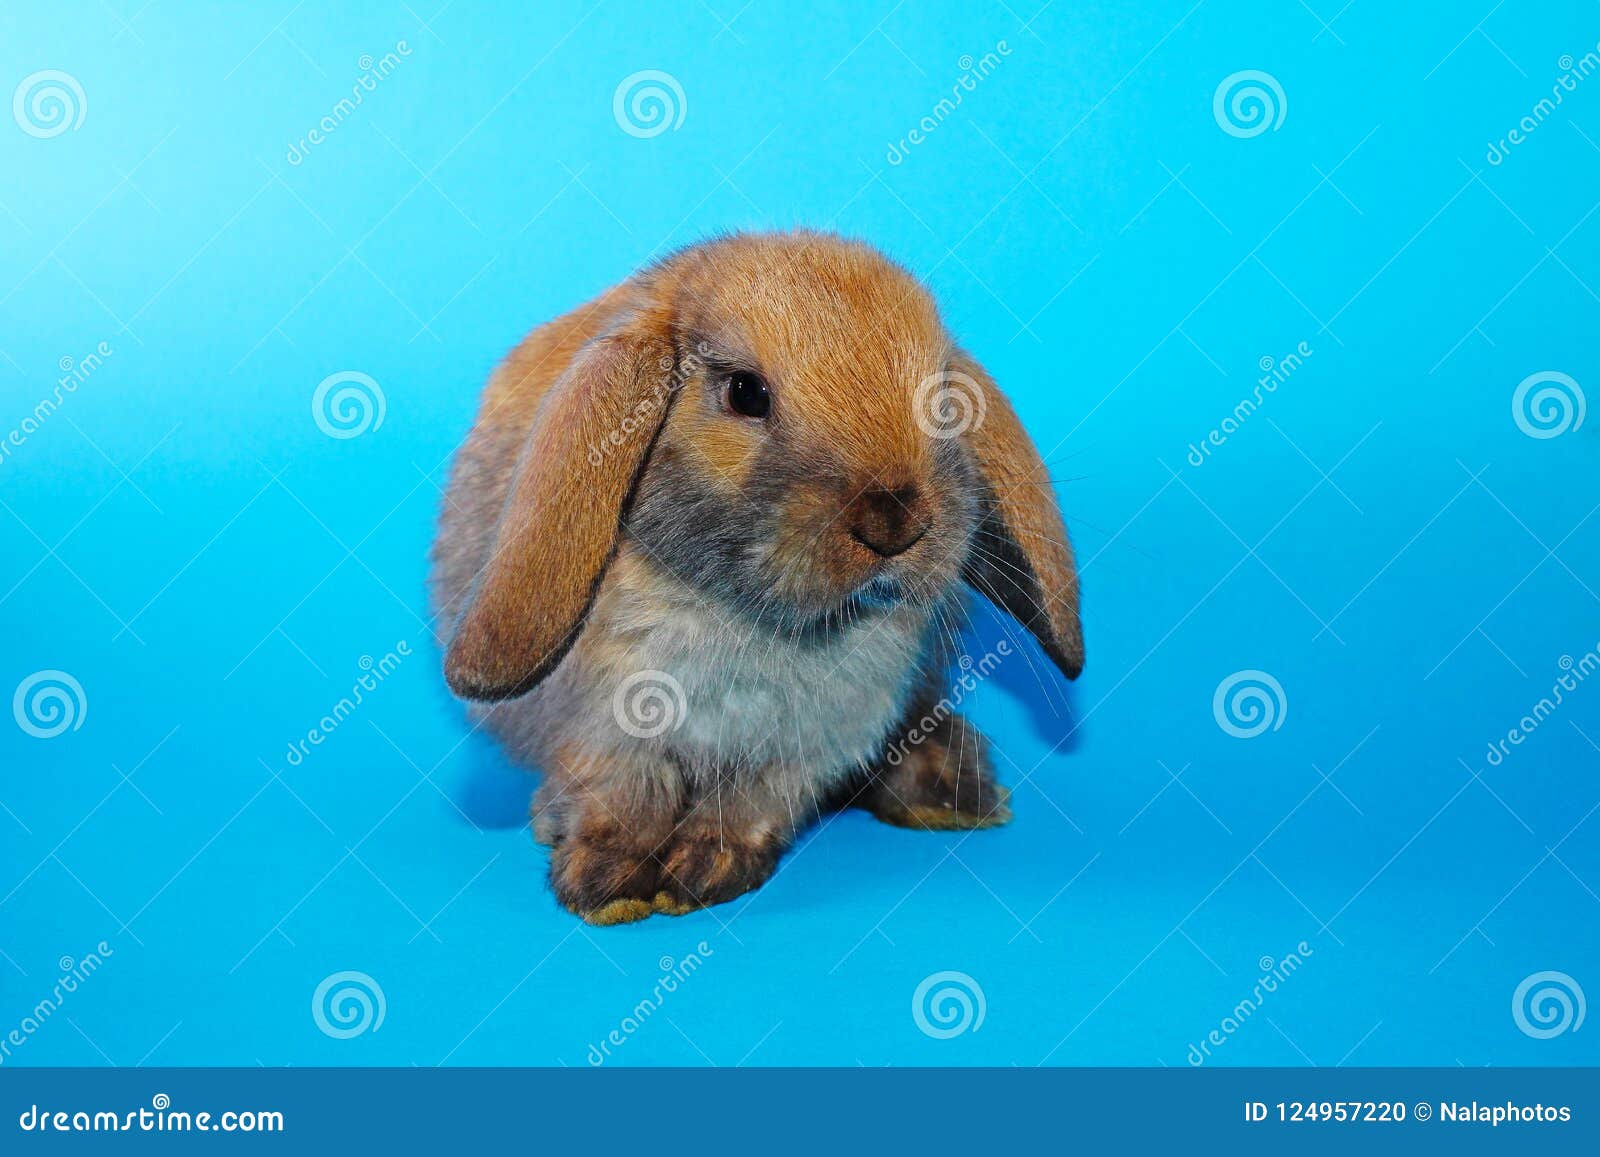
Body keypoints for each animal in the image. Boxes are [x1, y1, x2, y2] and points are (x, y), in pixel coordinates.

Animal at [430, 230, 1083, 925]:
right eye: (746, 393)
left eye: (944, 404)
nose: (894, 520)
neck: (753, 617)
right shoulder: (604, 731)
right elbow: (623, 802)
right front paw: (608, 885)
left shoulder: (811, 746)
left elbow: (748, 808)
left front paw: (704, 871)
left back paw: (950, 789)